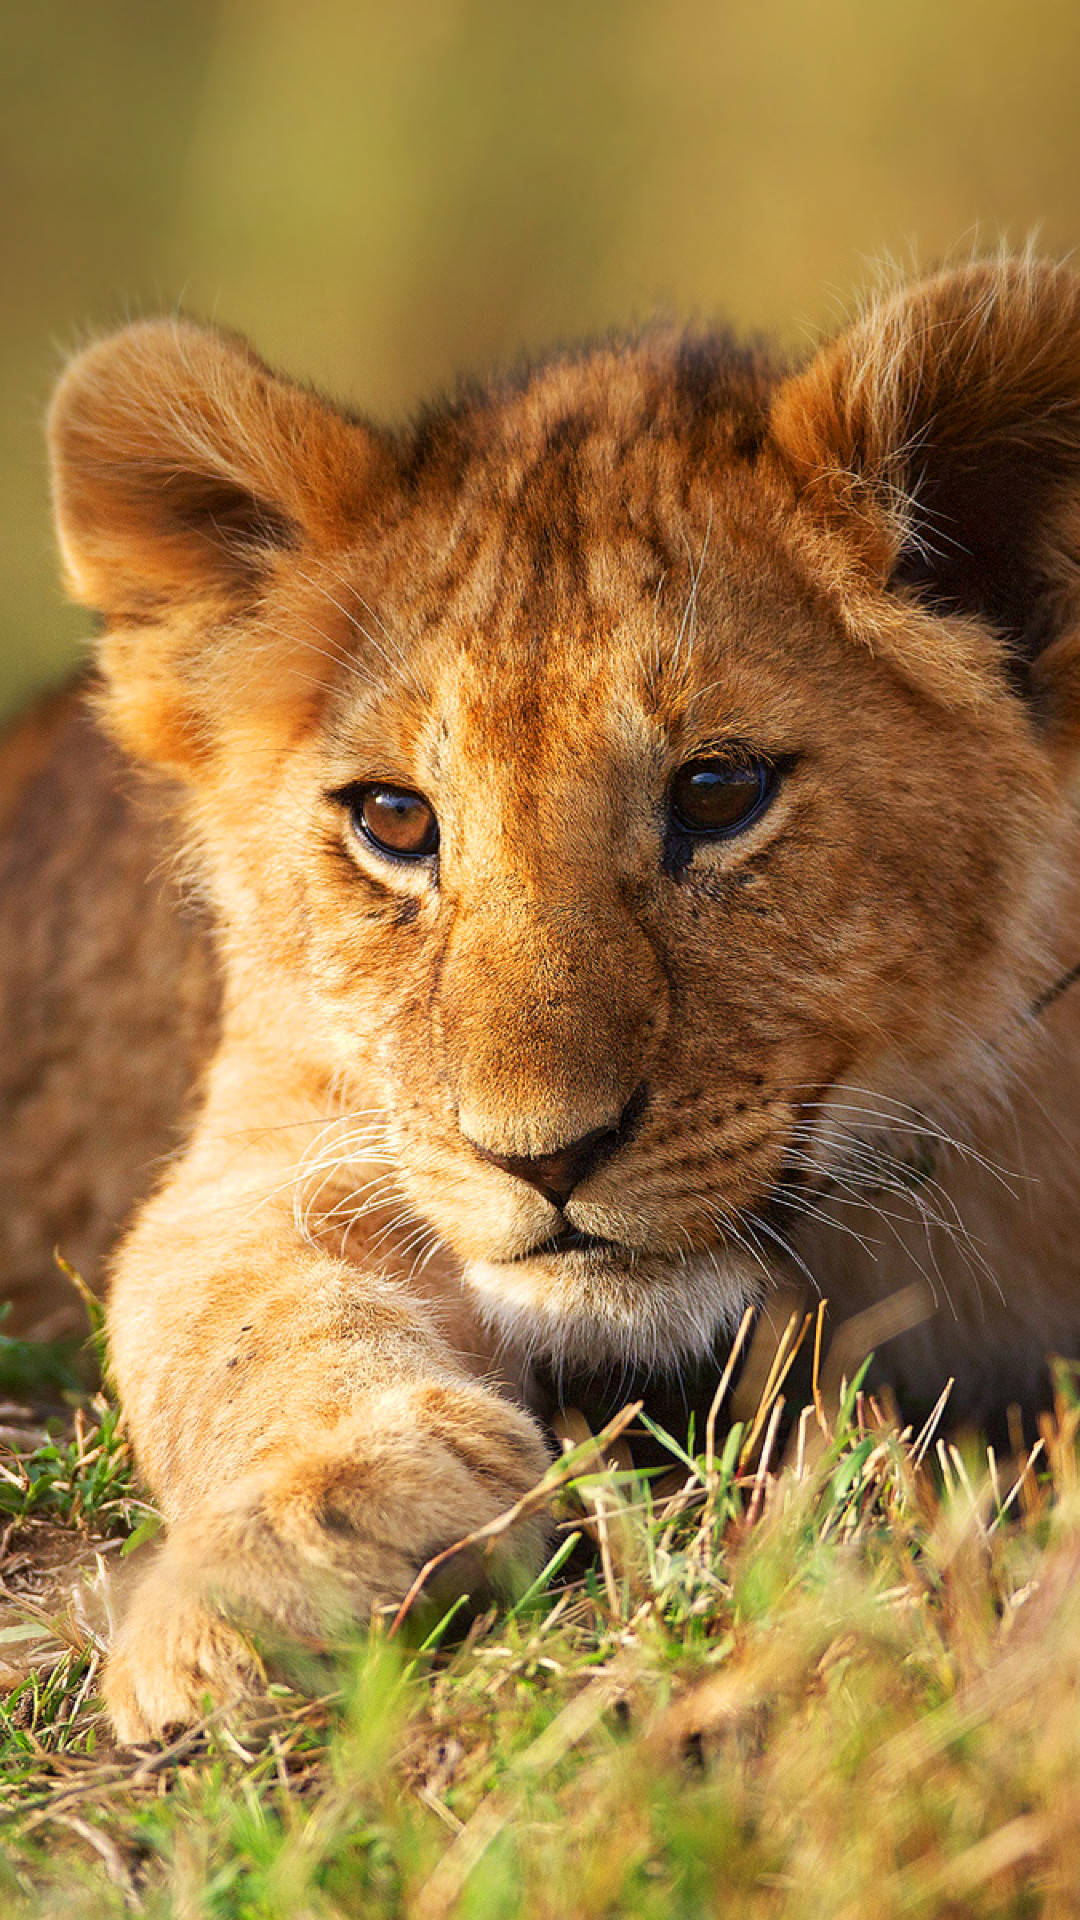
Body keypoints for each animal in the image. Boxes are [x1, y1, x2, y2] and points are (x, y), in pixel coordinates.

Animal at [4, 257, 1080, 1739]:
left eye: (721, 792)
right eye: (395, 819)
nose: (546, 1158)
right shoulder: (292, 1123)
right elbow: (233, 1307)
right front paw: (293, 1549)